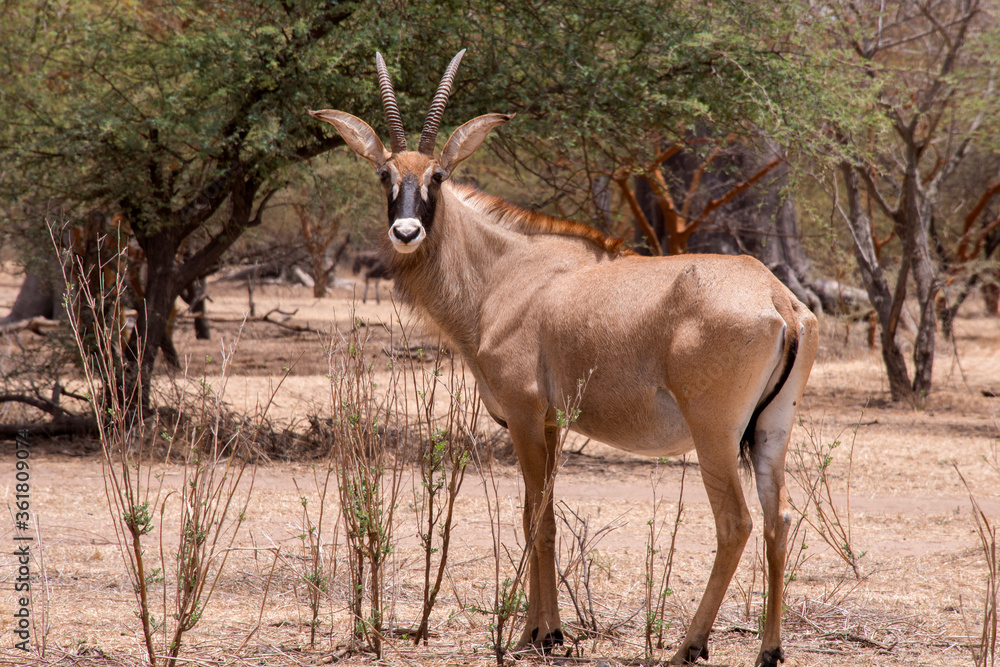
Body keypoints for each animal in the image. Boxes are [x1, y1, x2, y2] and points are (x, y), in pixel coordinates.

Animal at [309, 51, 818, 667]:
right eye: (385, 174)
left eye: (437, 176)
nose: (406, 231)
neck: (503, 272)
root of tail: (777, 298)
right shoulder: (551, 423)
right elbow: (545, 511)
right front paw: (548, 629)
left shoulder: (525, 416)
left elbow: (535, 518)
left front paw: (538, 633)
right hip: (771, 429)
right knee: (778, 518)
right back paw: (769, 649)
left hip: (714, 431)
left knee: (736, 522)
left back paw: (689, 646)